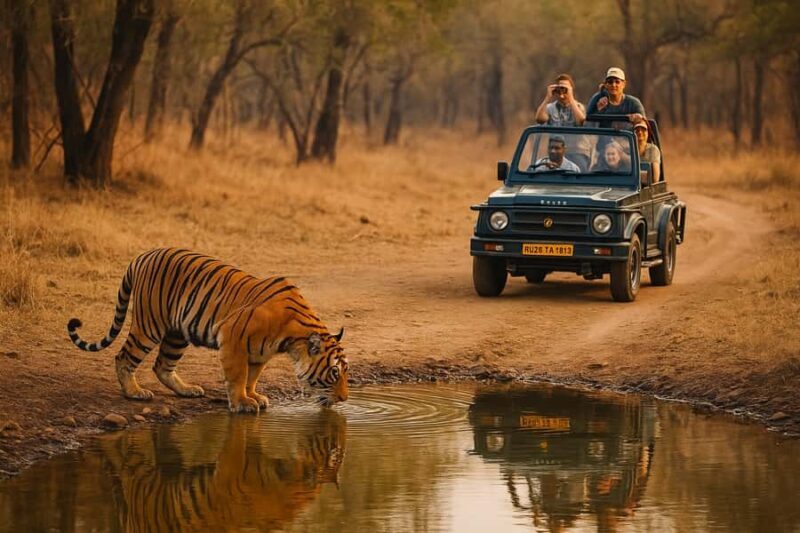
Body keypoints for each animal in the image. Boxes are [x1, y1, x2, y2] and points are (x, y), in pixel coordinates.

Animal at [67, 247, 349, 412]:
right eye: (334, 372)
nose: (346, 399)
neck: (291, 339)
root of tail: (142, 255)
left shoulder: (259, 354)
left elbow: (251, 377)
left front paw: (254, 396)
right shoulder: (233, 338)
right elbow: (238, 376)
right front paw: (242, 403)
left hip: (177, 334)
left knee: (162, 365)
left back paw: (187, 390)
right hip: (150, 325)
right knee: (124, 357)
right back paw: (134, 393)